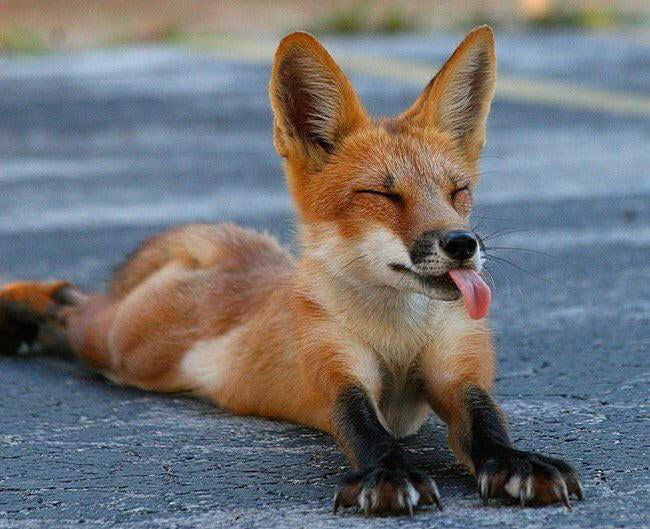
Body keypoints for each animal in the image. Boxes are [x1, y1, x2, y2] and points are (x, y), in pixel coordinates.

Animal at [0, 27, 583, 516]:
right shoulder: (335, 368)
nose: (462, 244)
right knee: (71, 304)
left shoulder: (457, 369)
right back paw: (21, 314)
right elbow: (363, 425)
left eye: (457, 192)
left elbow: (487, 423)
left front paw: (516, 462)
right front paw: (387, 473)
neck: (397, 335)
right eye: (382, 195)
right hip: (123, 350)